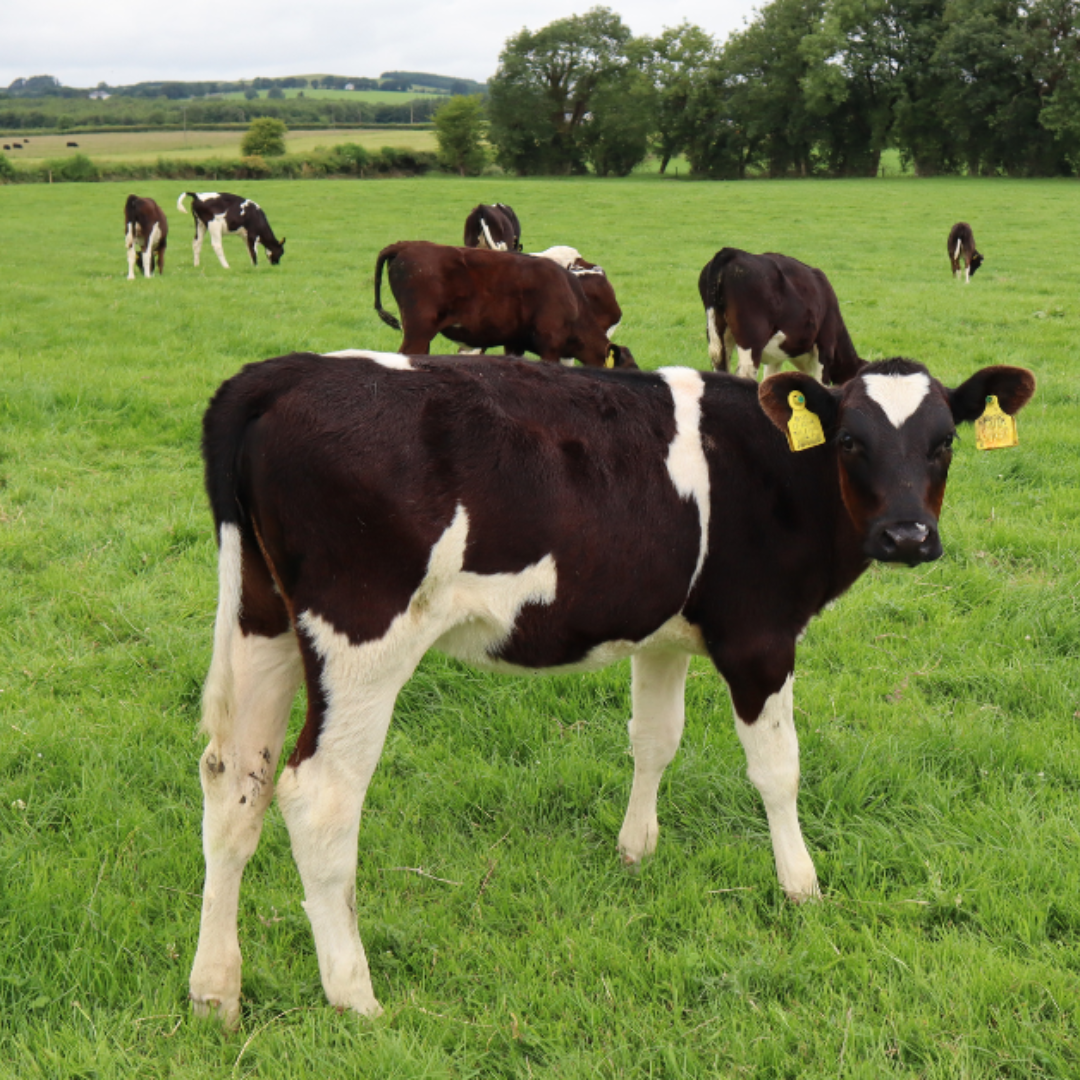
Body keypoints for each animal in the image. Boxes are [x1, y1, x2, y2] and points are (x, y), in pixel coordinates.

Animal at [190, 349, 1034, 1025]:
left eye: (944, 442)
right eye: (853, 441)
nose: (907, 535)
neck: (775, 468)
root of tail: (283, 373)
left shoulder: (660, 635)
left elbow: (654, 740)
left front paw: (636, 851)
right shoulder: (759, 639)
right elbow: (778, 770)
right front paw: (801, 886)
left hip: (262, 621)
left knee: (235, 783)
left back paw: (215, 991)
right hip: (362, 640)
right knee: (320, 795)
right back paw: (355, 996)